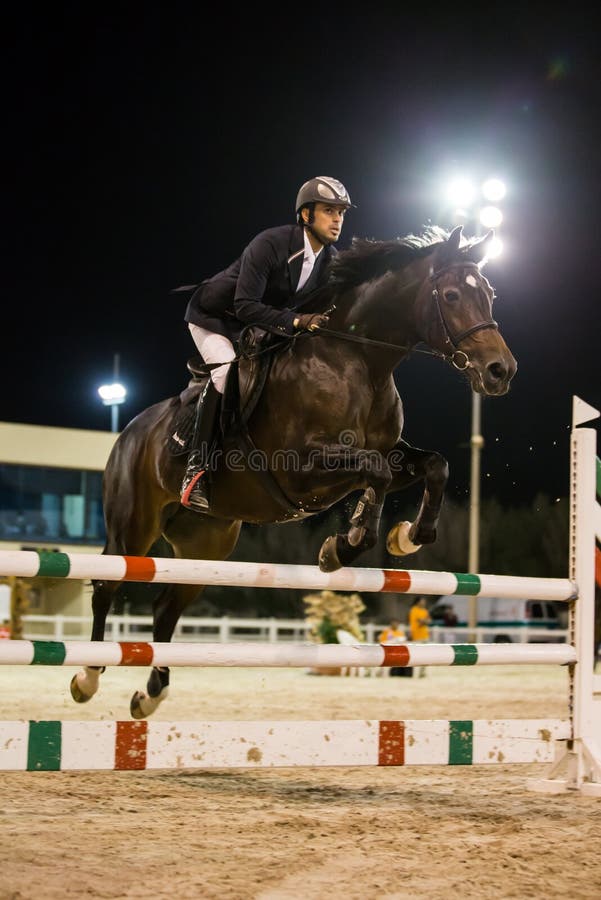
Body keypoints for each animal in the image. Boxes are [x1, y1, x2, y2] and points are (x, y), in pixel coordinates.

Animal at [70, 224, 516, 717]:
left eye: (491, 294)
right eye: (452, 295)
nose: (501, 371)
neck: (361, 362)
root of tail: (128, 430)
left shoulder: (386, 455)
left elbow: (431, 465)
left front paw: (404, 537)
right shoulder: (301, 471)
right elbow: (376, 473)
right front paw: (344, 546)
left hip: (207, 542)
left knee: (167, 605)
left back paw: (151, 694)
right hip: (133, 525)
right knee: (106, 586)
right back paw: (87, 677)